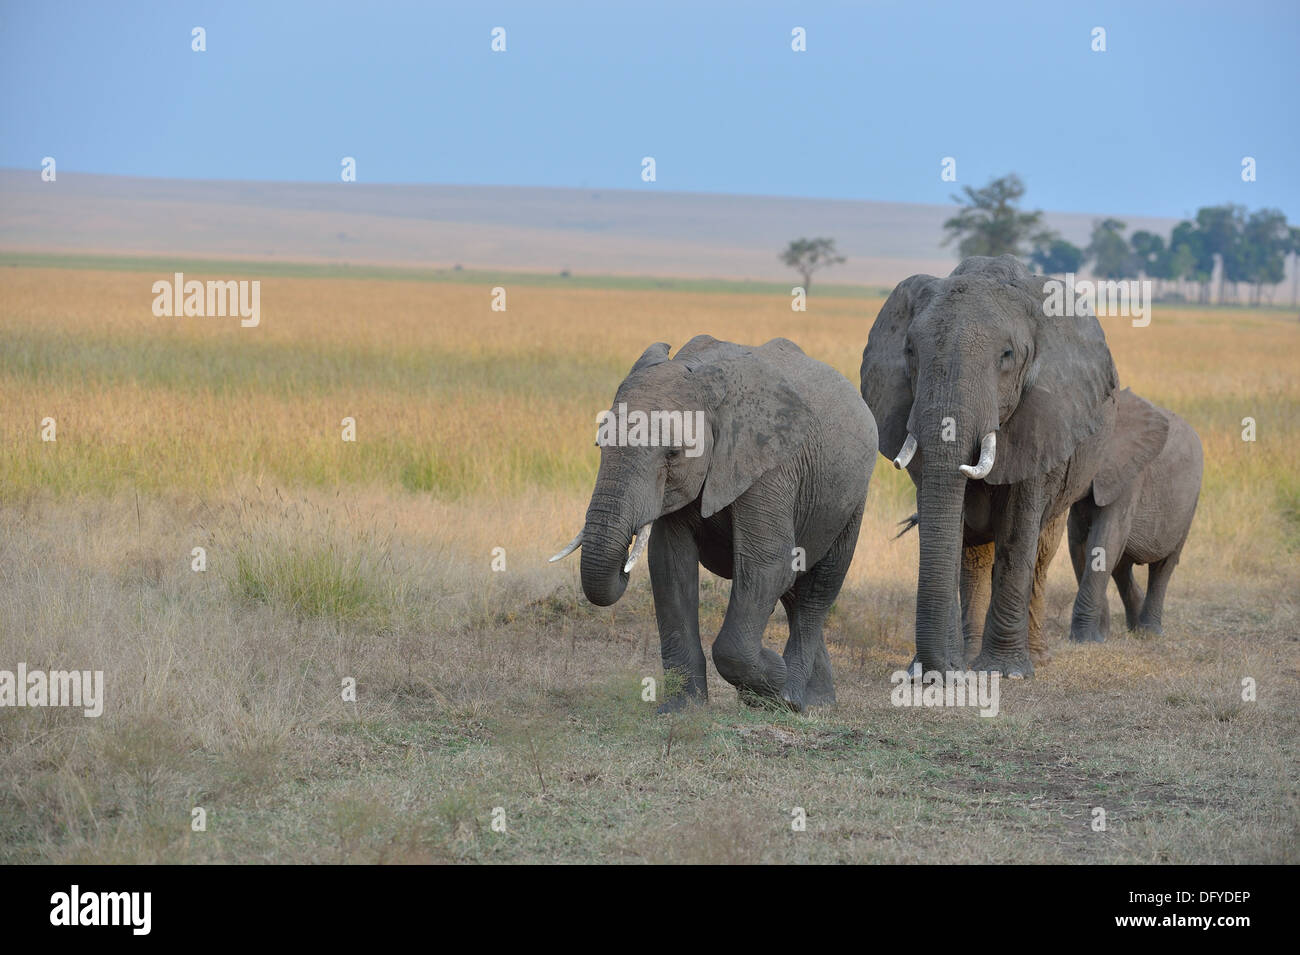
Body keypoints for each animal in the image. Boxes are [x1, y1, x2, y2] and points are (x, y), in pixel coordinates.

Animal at [550, 335, 877, 711]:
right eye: (600, 443)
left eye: (673, 454)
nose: (622, 565)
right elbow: (670, 566)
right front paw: (683, 709)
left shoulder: (768, 467)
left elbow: (766, 564)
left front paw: (771, 680)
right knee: (795, 591)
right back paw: (815, 701)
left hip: (853, 498)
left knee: (818, 589)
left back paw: (793, 699)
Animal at [861, 254, 1128, 678]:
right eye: (910, 351)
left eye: (1006, 356)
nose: (940, 670)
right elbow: (950, 531)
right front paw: (946, 669)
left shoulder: (1045, 416)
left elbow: (1018, 532)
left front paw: (1005, 672)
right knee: (974, 555)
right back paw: (972, 655)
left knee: (1042, 550)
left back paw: (1034, 659)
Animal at [1067, 389, 1203, 641]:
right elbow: (1079, 544)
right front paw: (1099, 636)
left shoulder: (1129, 475)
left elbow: (1105, 541)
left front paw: (1085, 640)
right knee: (1122, 567)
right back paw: (1136, 627)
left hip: (1190, 504)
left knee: (1163, 566)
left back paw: (1150, 632)